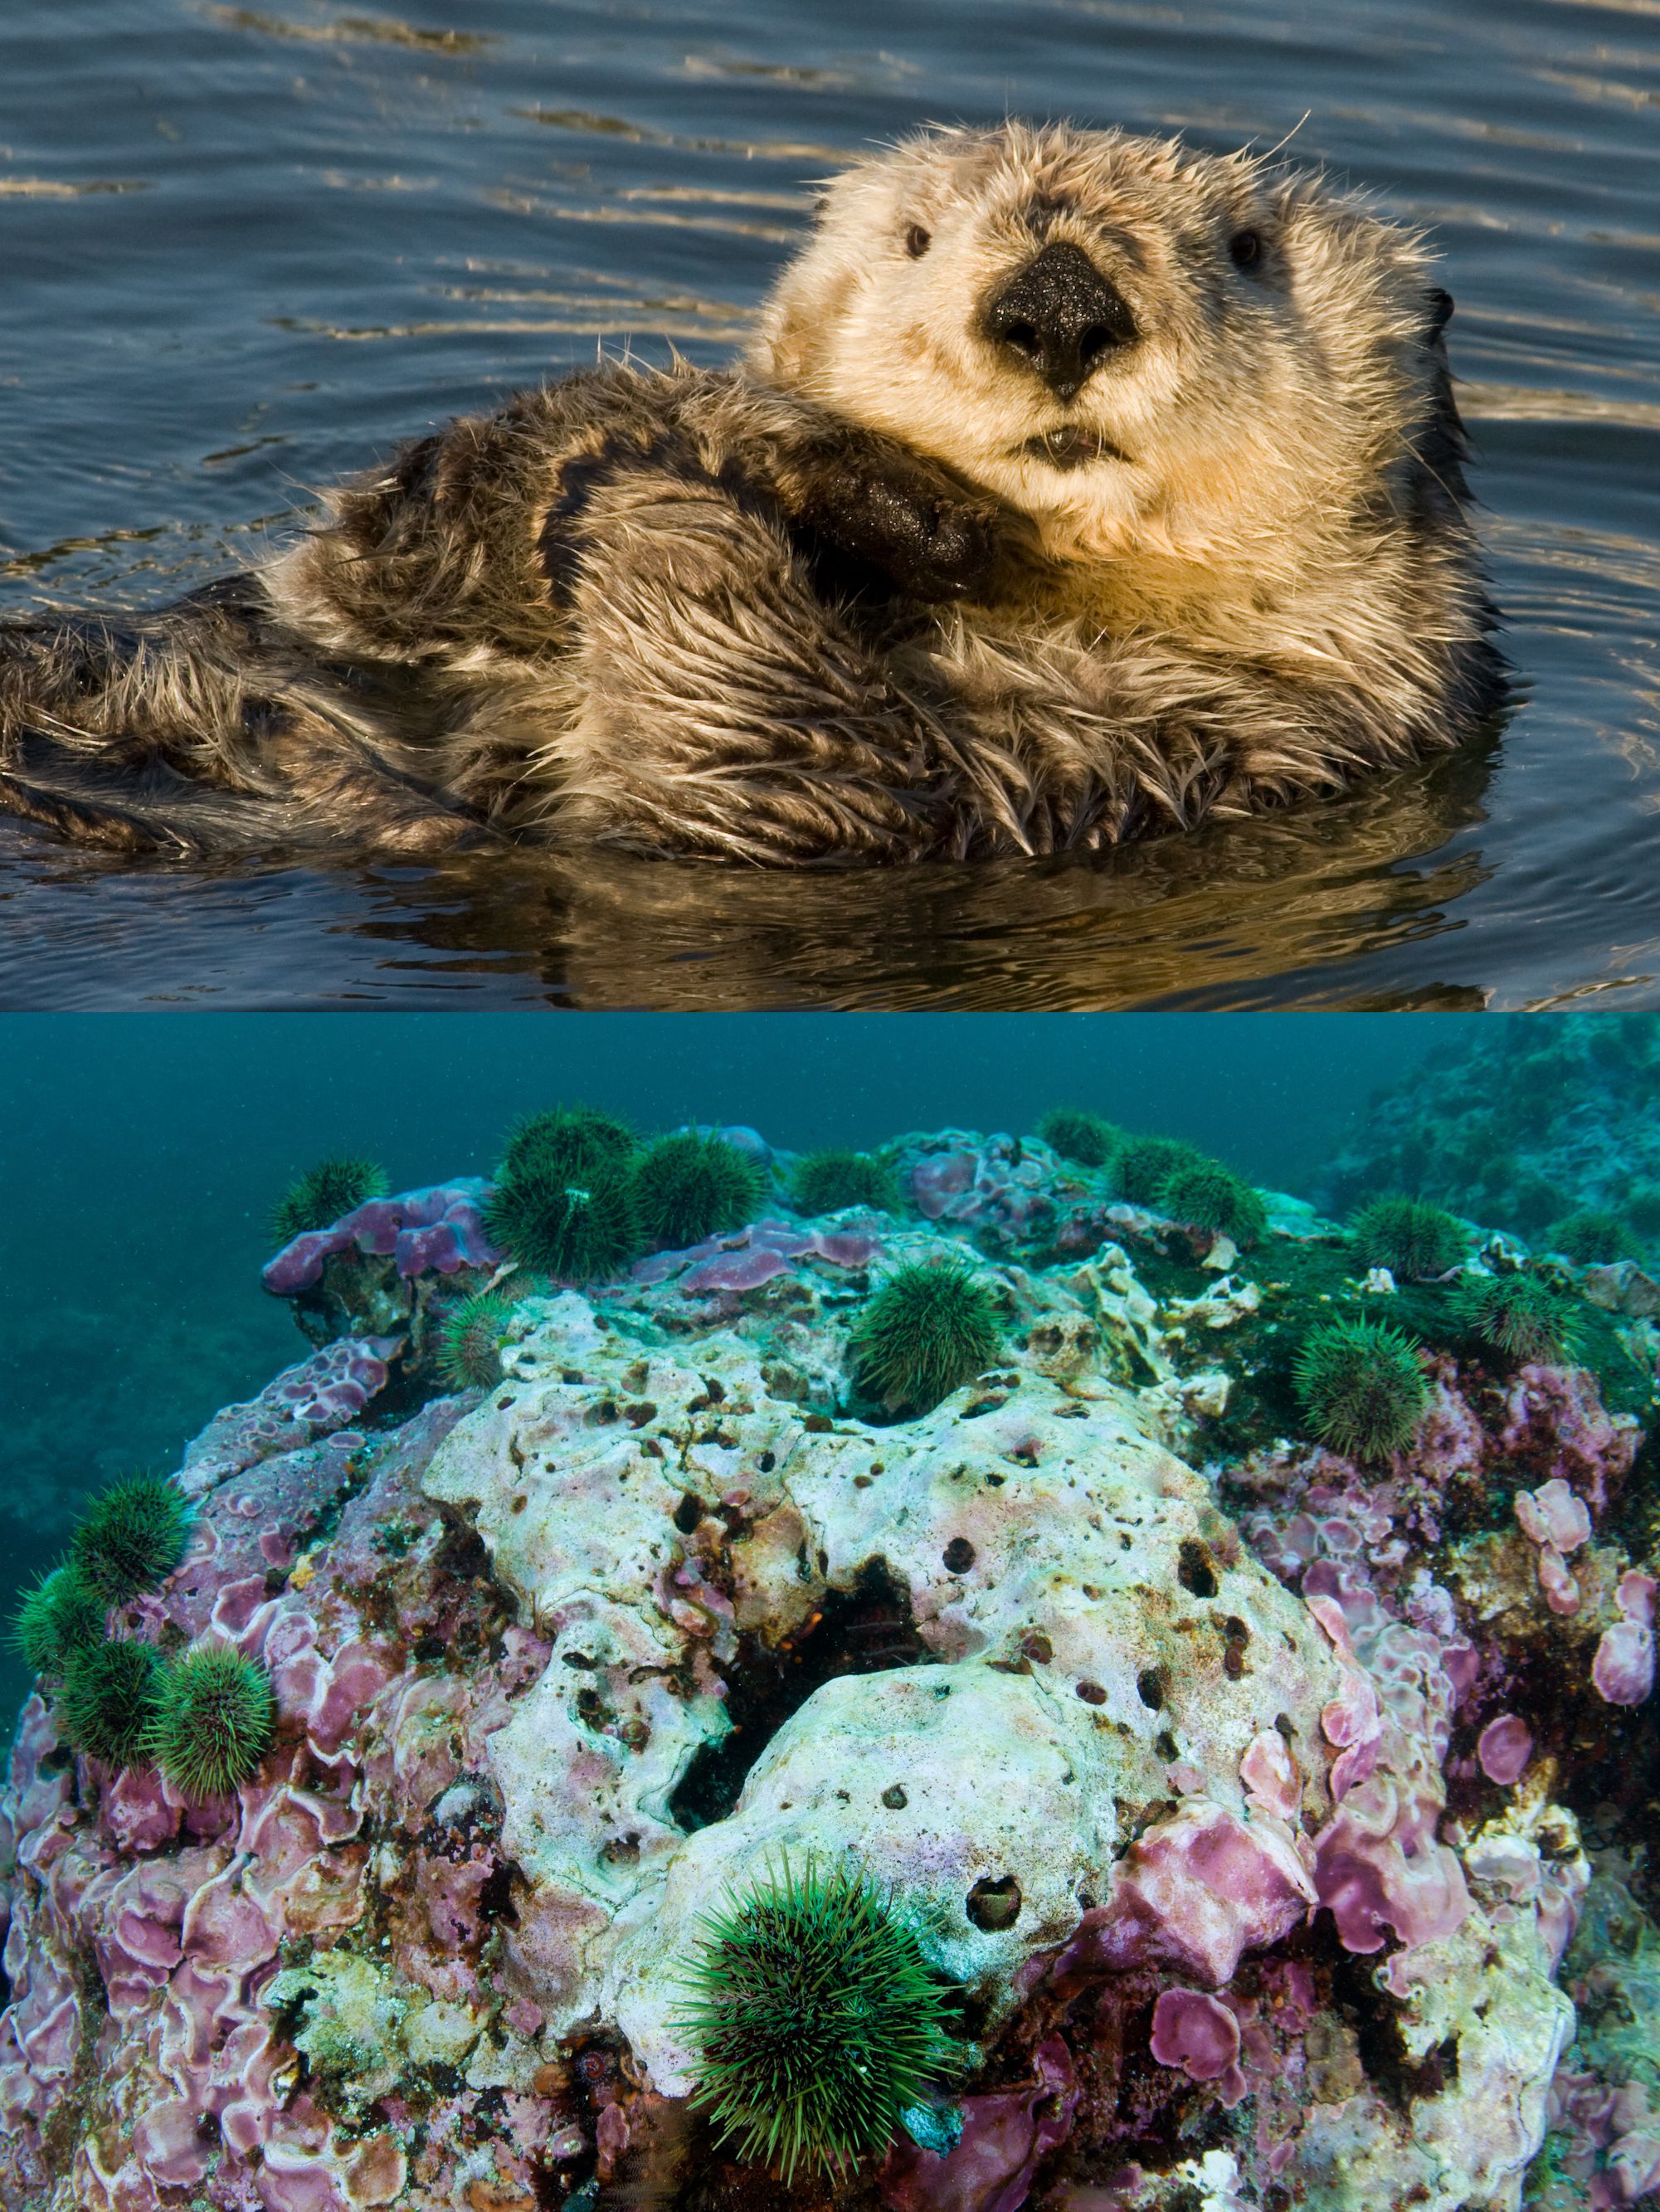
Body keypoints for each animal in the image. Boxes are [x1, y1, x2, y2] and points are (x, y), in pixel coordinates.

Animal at [0, 121, 1503, 863]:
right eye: (916, 240)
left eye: (1248, 250)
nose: (1059, 305)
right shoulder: (349, 602)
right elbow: (364, 564)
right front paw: (716, 426)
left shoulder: (1226, 732)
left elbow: (772, 754)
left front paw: (664, 472)